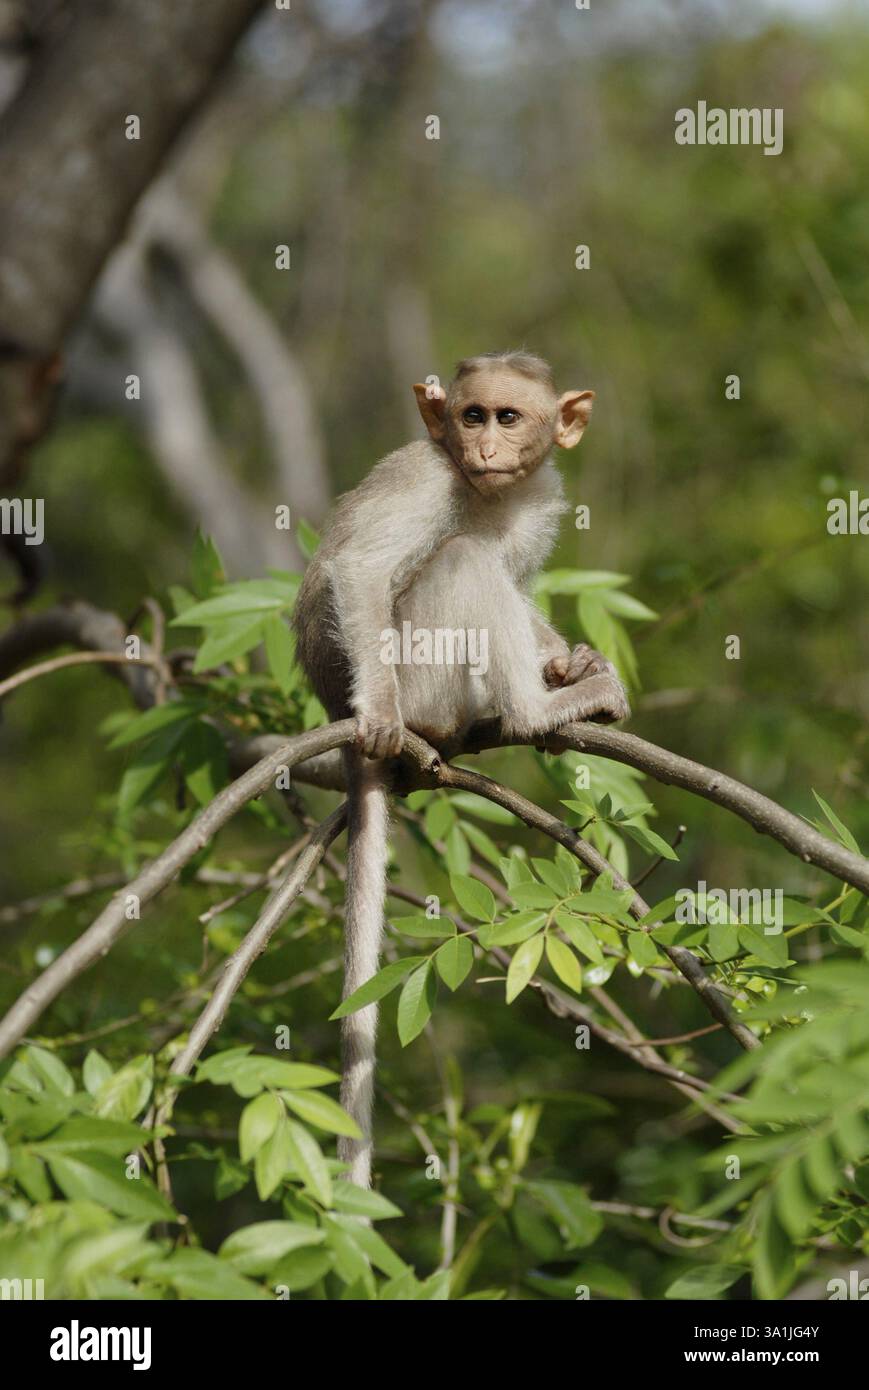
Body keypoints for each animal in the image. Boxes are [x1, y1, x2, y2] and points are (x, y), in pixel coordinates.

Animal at [294, 350, 629, 1186]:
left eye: (509, 417)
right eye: (471, 414)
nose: (482, 446)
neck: (485, 492)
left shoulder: (541, 499)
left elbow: (521, 582)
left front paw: (570, 658)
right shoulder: (427, 479)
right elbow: (360, 568)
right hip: (424, 675)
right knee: (463, 562)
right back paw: (532, 713)